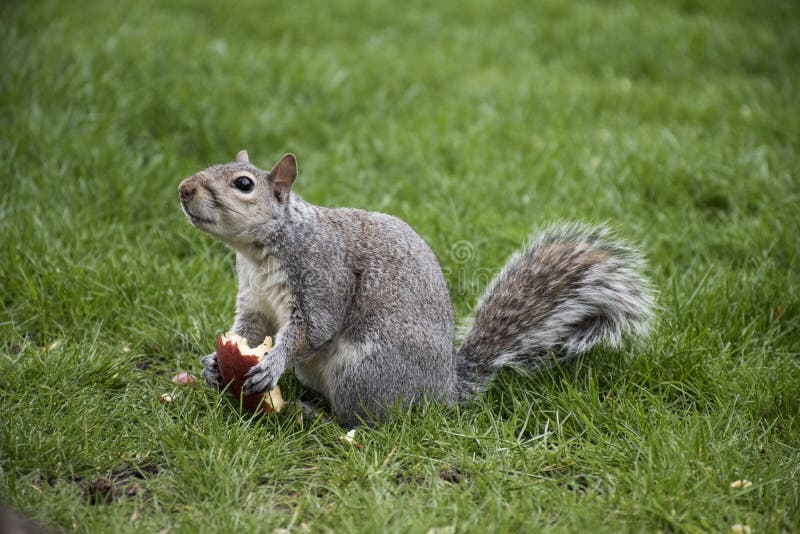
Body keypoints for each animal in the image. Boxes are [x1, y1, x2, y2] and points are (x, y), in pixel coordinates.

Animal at [178, 150, 655, 427]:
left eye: (243, 184)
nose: (184, 188)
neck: (260, 254)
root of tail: (442, 390)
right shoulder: (254, 301)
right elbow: (246, 333)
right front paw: (213, 363)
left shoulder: (323, 277)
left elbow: (311, 330)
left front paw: (270, 365)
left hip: (365, 372)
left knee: (365, 422)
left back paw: (313, 414)